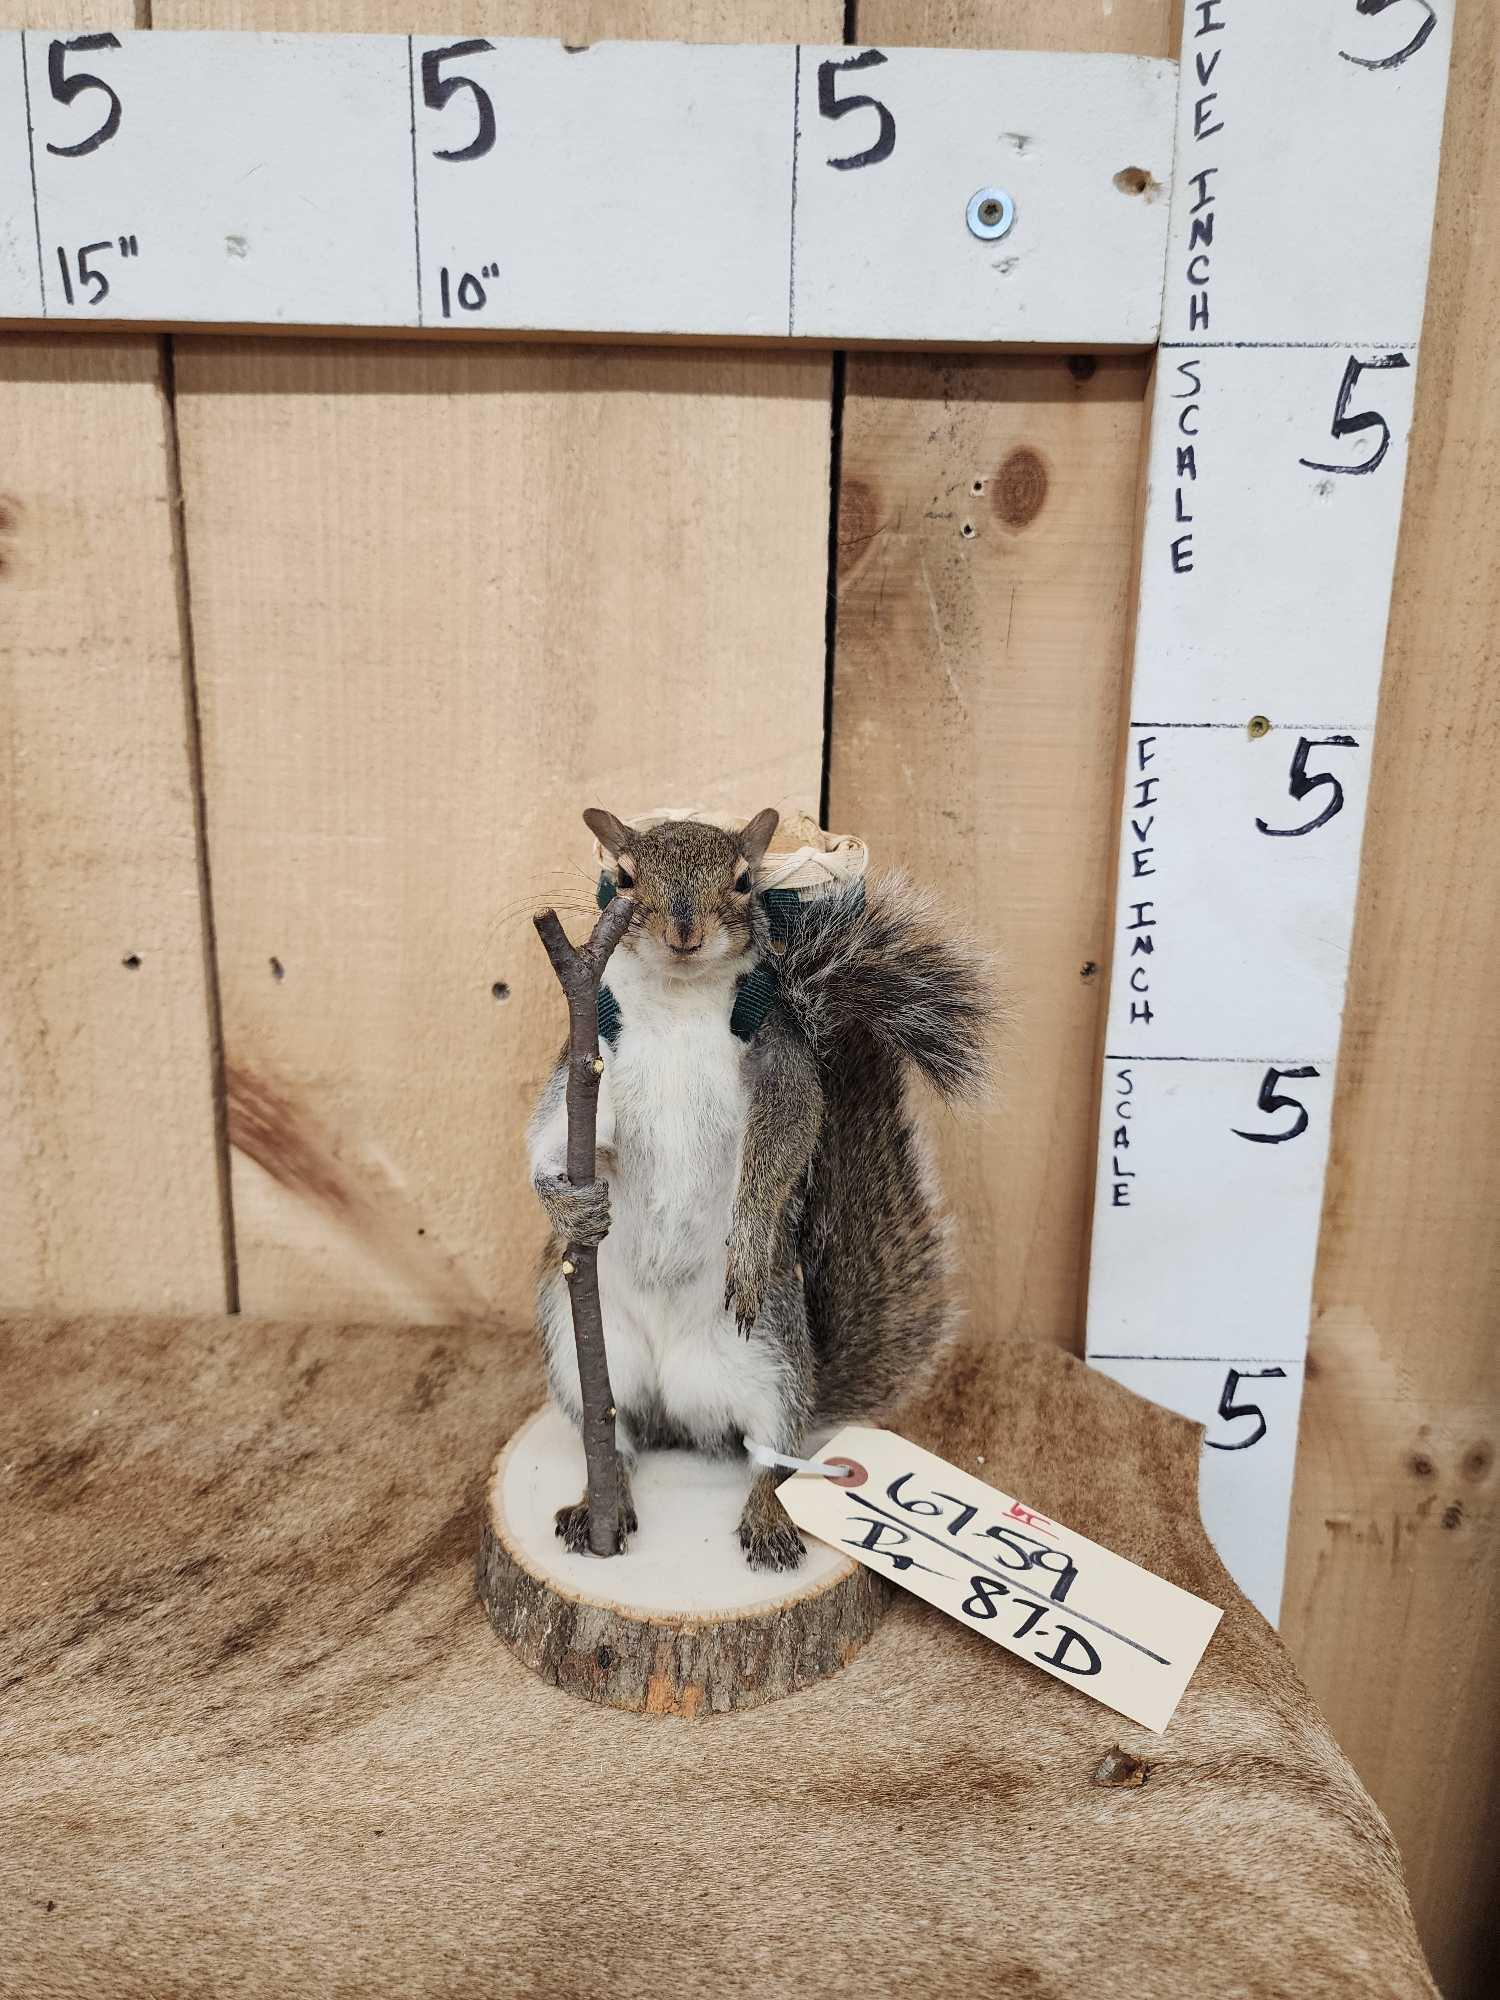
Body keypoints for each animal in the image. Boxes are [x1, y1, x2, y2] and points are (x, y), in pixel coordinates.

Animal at [527, 808, 992, 1572]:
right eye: (625, 877)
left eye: (744, 882)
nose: (684, 931)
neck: (679, 999)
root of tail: (681, 1415)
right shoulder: (584, 1065)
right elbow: (546, 1140)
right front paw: (568, 1205)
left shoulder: (779, 1061)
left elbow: (782, 1146)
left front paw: (745, 1239)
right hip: (579, 1350)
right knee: (616, 1438)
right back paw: (604, 1497)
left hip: (770, 1363)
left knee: (772, 1456)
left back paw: (770, 1516)